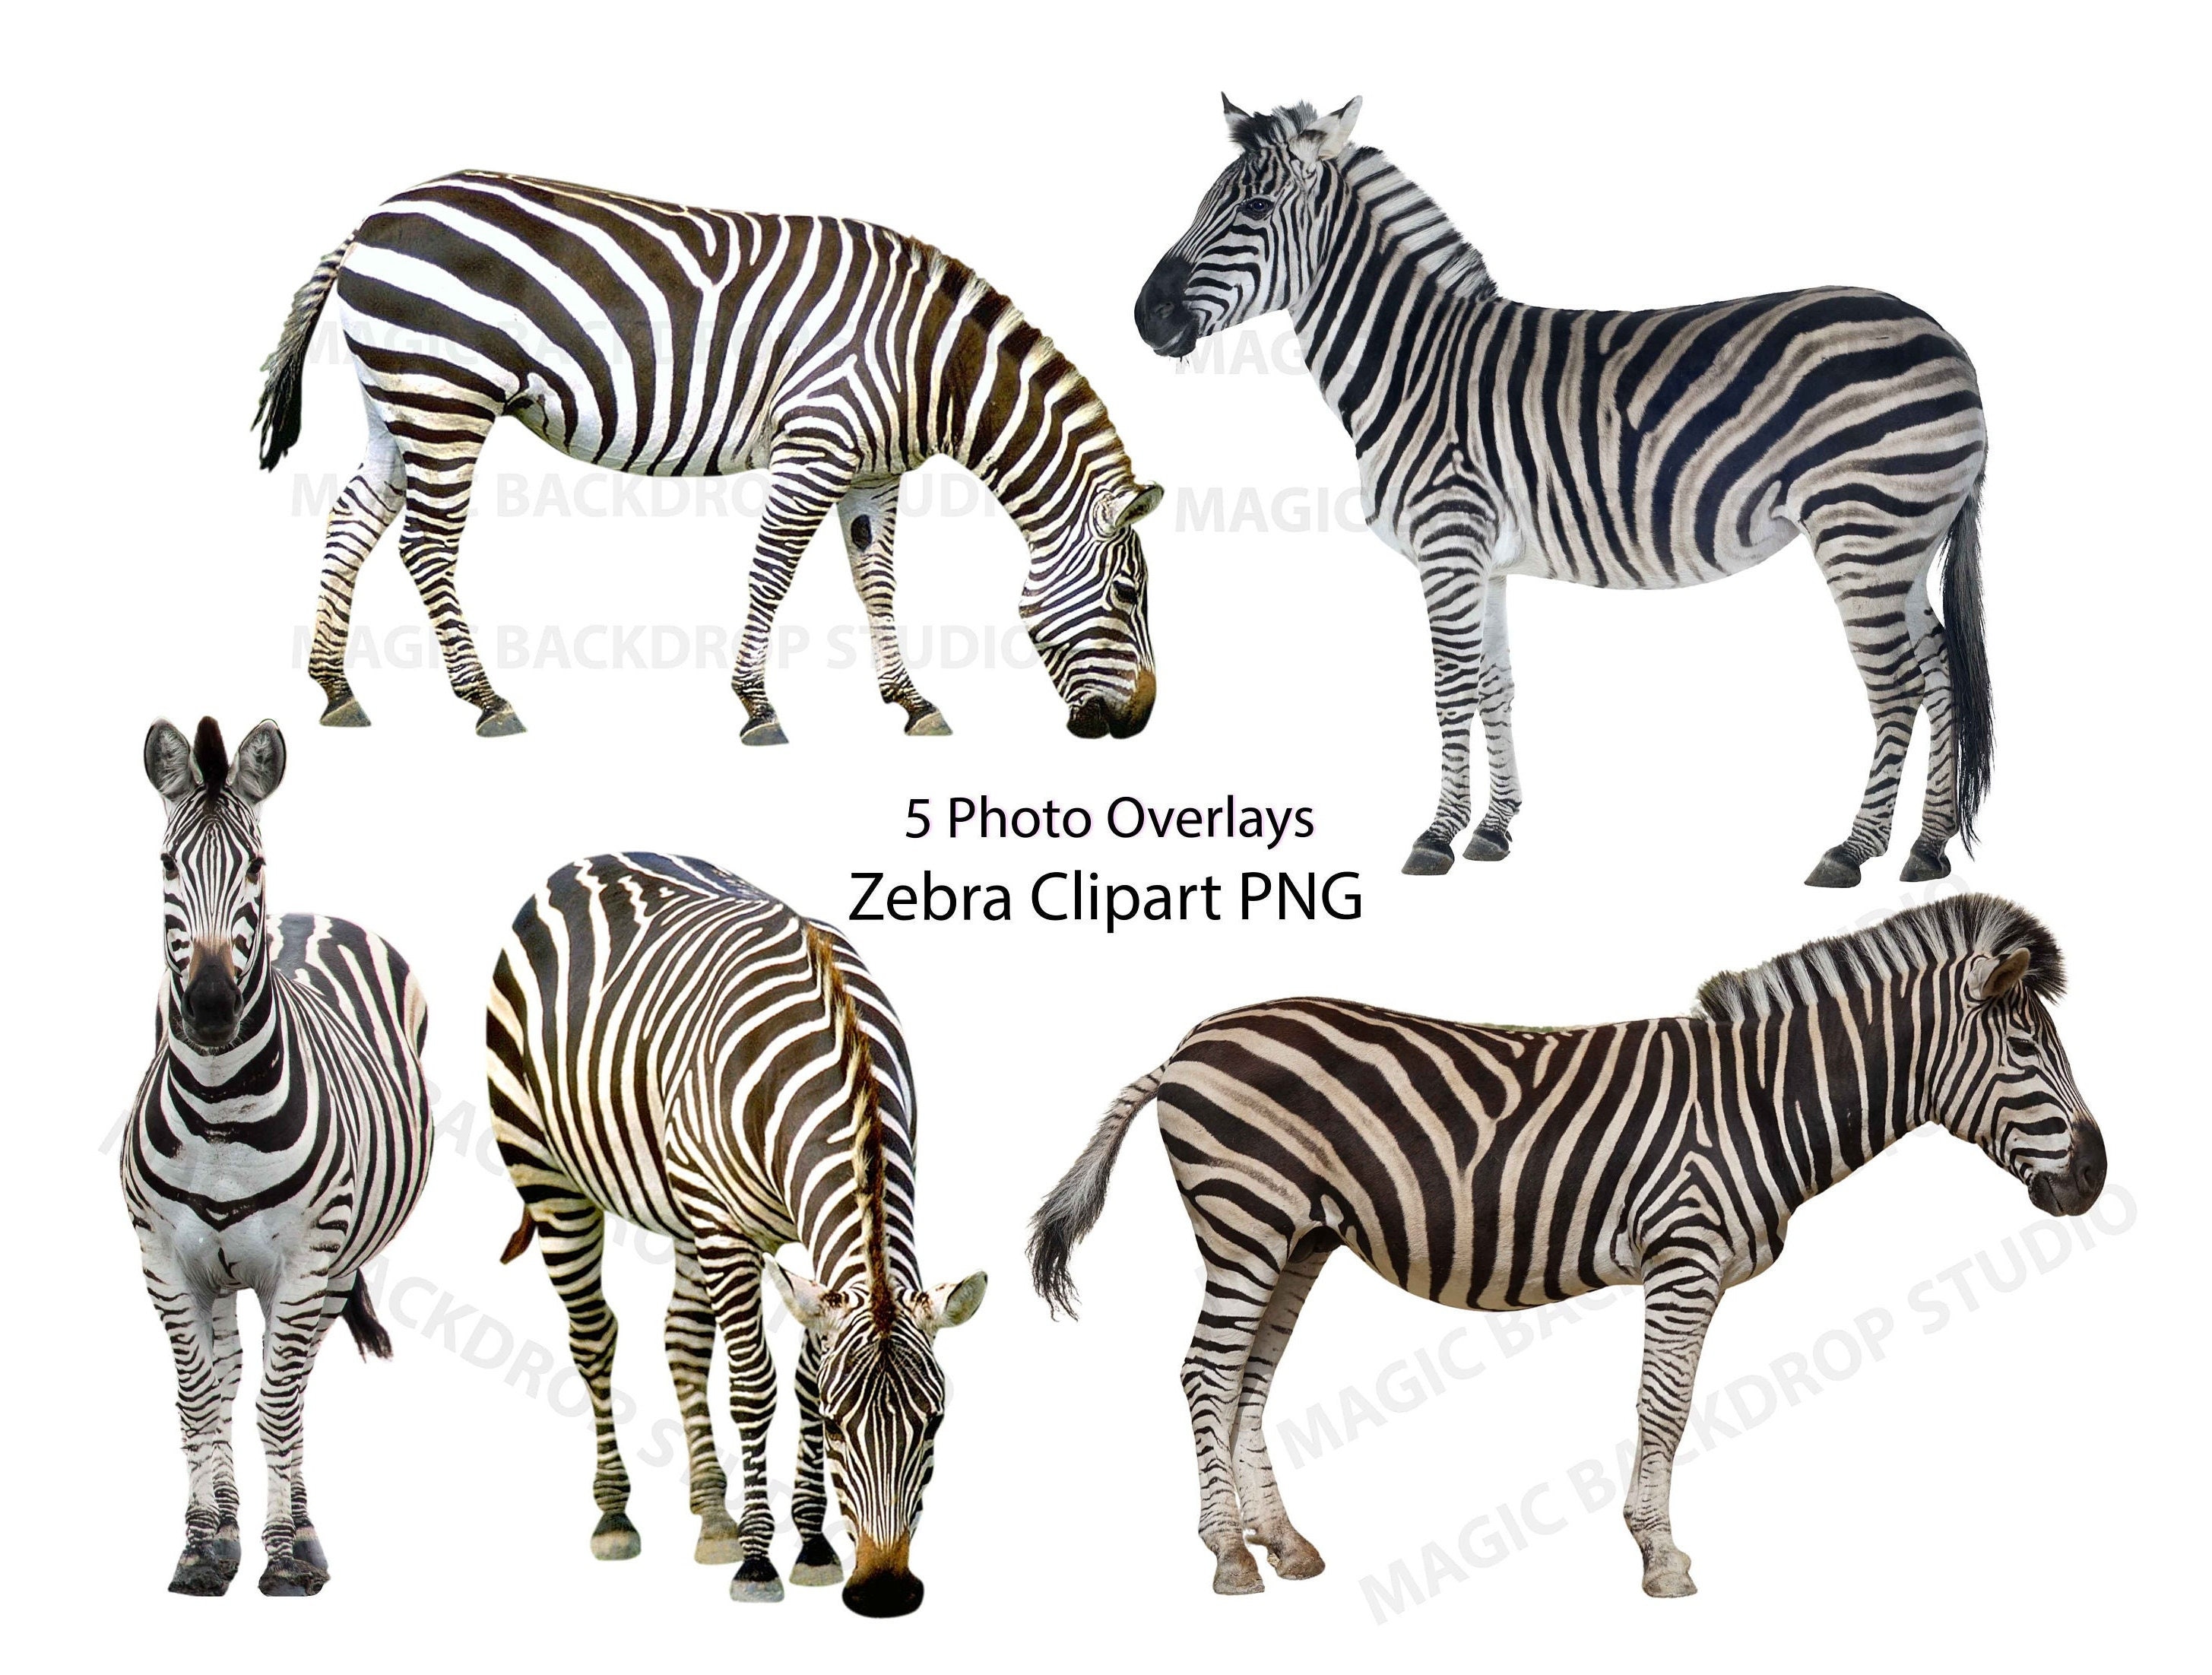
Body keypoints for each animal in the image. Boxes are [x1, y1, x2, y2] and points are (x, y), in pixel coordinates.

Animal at [123, 717, 435, 1597]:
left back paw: (298, 1531)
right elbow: (200, 1400)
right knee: (230, 1374)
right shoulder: (166, 1261)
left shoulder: (303, 1262)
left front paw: (288, 1554)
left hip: (329, 1268)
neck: (221, 1112)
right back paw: (227, 1526)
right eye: (166, 863)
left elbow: (278, 1403)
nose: (210, 1008)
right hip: (222, 1268)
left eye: (255, 864)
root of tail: (313, 914)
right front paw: (203, 1549)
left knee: (282, 1381)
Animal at [256, 172, 1163, 744]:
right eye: (1128, 594)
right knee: (426, 545)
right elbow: (774, 574)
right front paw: (758, 707)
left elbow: (876, 584)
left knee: (352, 519)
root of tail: (375, 218)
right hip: (447, 393)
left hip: (400, 399)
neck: (928, 364)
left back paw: (336, 689)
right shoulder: (815, 445)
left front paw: (910, 701)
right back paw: (485, 700)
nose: (1141, 723)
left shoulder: (872, 473)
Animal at [485, 853, 985, 1617]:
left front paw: (811, 1545)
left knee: (682, 1338)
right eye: (839, 1427)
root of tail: (582, 862)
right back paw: (616, 1515)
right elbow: (755, 1387)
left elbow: (802, 1380)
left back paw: (713, 1515)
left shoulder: (803, 1252)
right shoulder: (725, 1225)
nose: (884, 1594)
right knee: (594, 1336)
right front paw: (758, 1561)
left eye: (934, 1423)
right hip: (550, 1176)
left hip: (684, 1205)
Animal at [1030, 893, 2105, 1598]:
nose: (2094, 1177)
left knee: (1248, 1377)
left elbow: (1670, 1408)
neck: (1763, 1099)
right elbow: (1665, 1409)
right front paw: (1659, 1557)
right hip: (1245, 1216)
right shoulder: (1684, 1255)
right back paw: (1226, 1555)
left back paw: (1284, 1544)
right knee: (1205, 1371)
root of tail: (1188, 1043)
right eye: (2026, 1050)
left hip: (1299, 1233)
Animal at [1135, 99, 1991, 886]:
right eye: (1205, 201)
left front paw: (1436, 836)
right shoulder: (1484, 561)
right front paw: (1493, 829)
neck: (1414, 364)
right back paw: (1927, 847)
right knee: (1942, 668)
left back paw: (1853, 850)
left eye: (1252, 208)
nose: (1145, 316)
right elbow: (1495, 685)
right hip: (1904, 542)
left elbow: (1449, 689)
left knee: (1896, 687)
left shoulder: (1447, 542)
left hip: (1863, 529)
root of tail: (1950, 342)